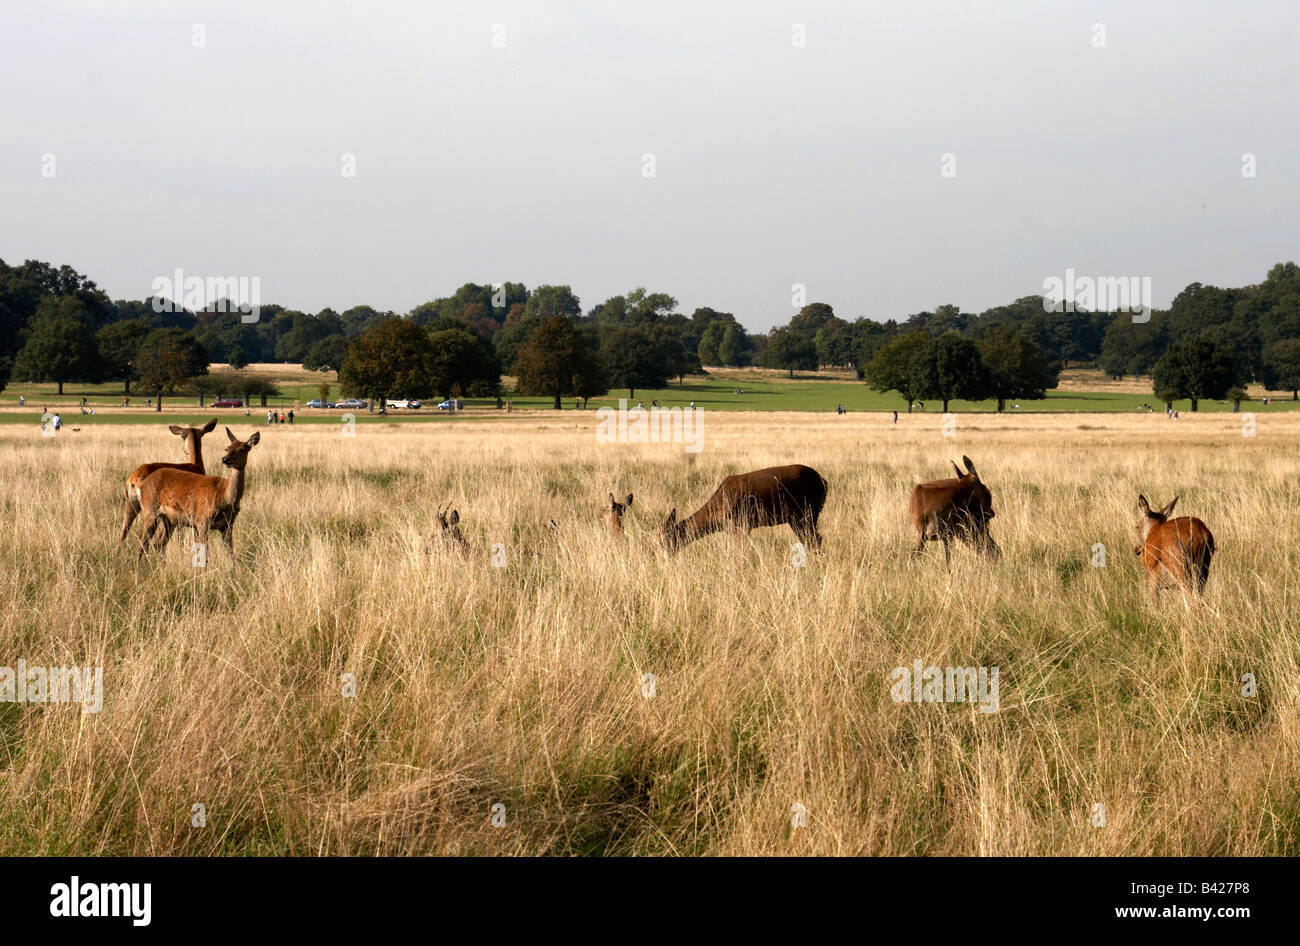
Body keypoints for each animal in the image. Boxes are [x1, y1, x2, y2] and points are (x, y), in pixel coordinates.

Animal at [134, 428, 259, 562]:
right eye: (227, 448)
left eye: (242, 449)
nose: (225, 459)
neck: (225, 497)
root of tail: (142, 484)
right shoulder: (202, 521)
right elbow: (205, 554)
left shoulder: (228, 526)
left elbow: (231, 555)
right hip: (150, 511)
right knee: (142, 544)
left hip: (168, 520)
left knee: (158, 544)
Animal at [659, 464, 827, 554]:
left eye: (667, 539)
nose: (663, 554)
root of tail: (824, 482)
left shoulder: (741, 525)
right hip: (797, 519)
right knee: (811, 539)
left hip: (807, 513)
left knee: (814, 539)